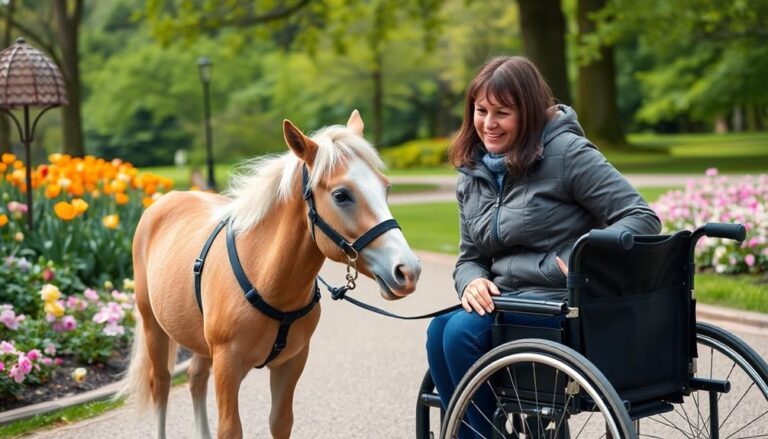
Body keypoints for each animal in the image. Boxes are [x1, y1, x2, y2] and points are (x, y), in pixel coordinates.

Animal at [119, 110, 422, 439]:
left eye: (386, 188)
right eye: (341, 195)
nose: (408, 269)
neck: (266, 277)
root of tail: (163, 203)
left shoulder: (291, 363)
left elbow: (280, 421)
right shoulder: (227, 365)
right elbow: (230, 429)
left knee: (196, 377)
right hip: (153, 325)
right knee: (160, 385)